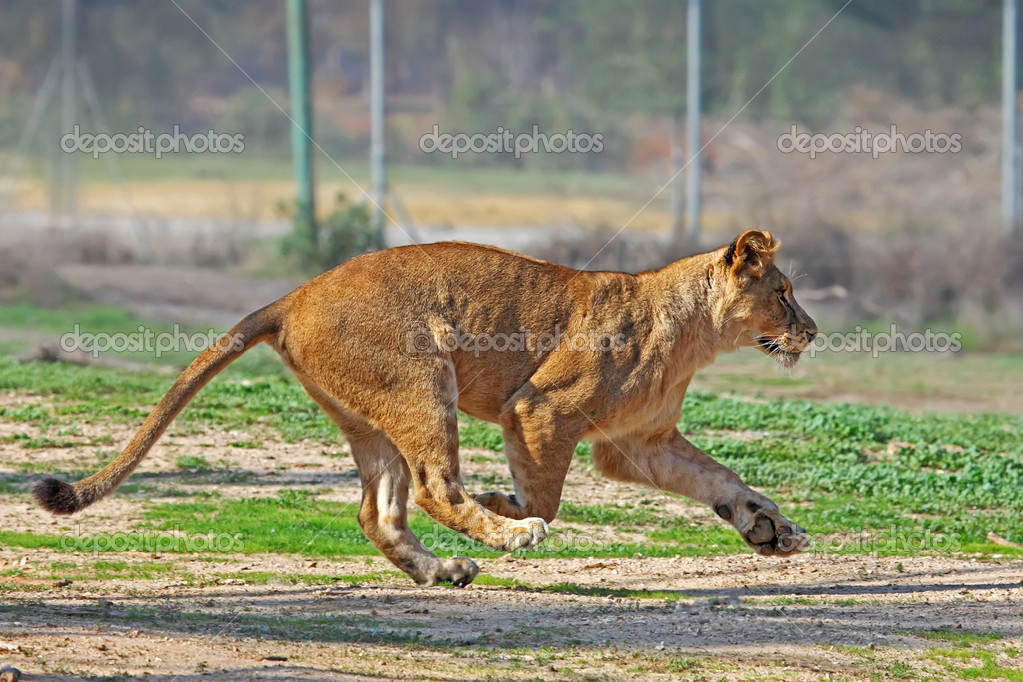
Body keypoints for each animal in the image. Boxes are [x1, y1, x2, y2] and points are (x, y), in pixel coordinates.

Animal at [33, 229, 817, 587]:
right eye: (782, 292)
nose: (811, 330)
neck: (695, 336)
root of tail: (295, 294)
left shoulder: (636, 443)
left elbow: (719, 478)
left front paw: (768, 528)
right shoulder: (540, 409)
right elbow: (546, 494)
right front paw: (507, 508)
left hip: (371, 415)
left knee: (377, 510)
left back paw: (441, 571)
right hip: (423, 379)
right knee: (436, 488)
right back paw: (504, 538)